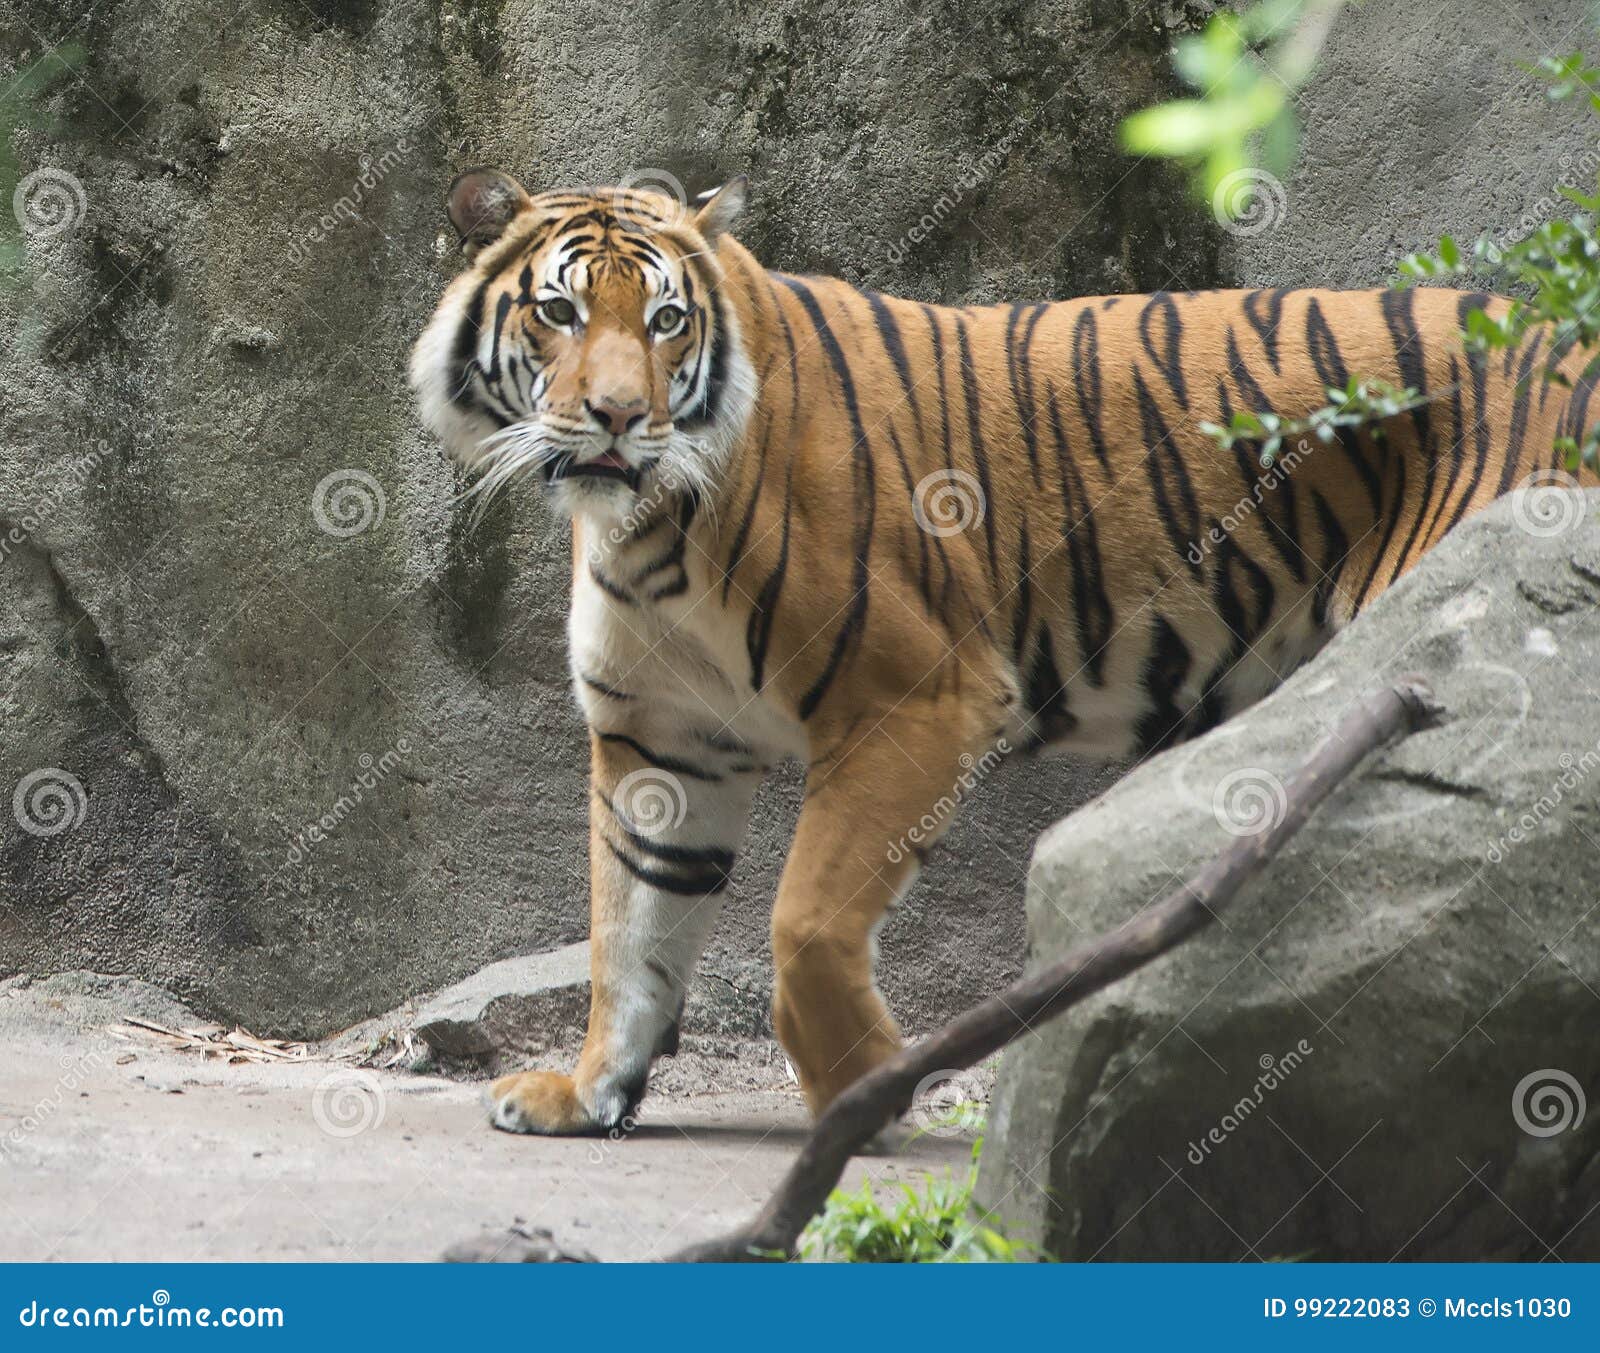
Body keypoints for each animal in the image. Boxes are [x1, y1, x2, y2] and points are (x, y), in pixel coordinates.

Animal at [409, 166, 1598, 1137]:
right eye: (559, 311)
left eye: (665, 321)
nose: (618, 417)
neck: (645, 525)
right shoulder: (662, 739)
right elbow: (630, 930)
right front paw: (588, 1093)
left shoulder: (917, 697)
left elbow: (804, 924)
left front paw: (864, 1095)